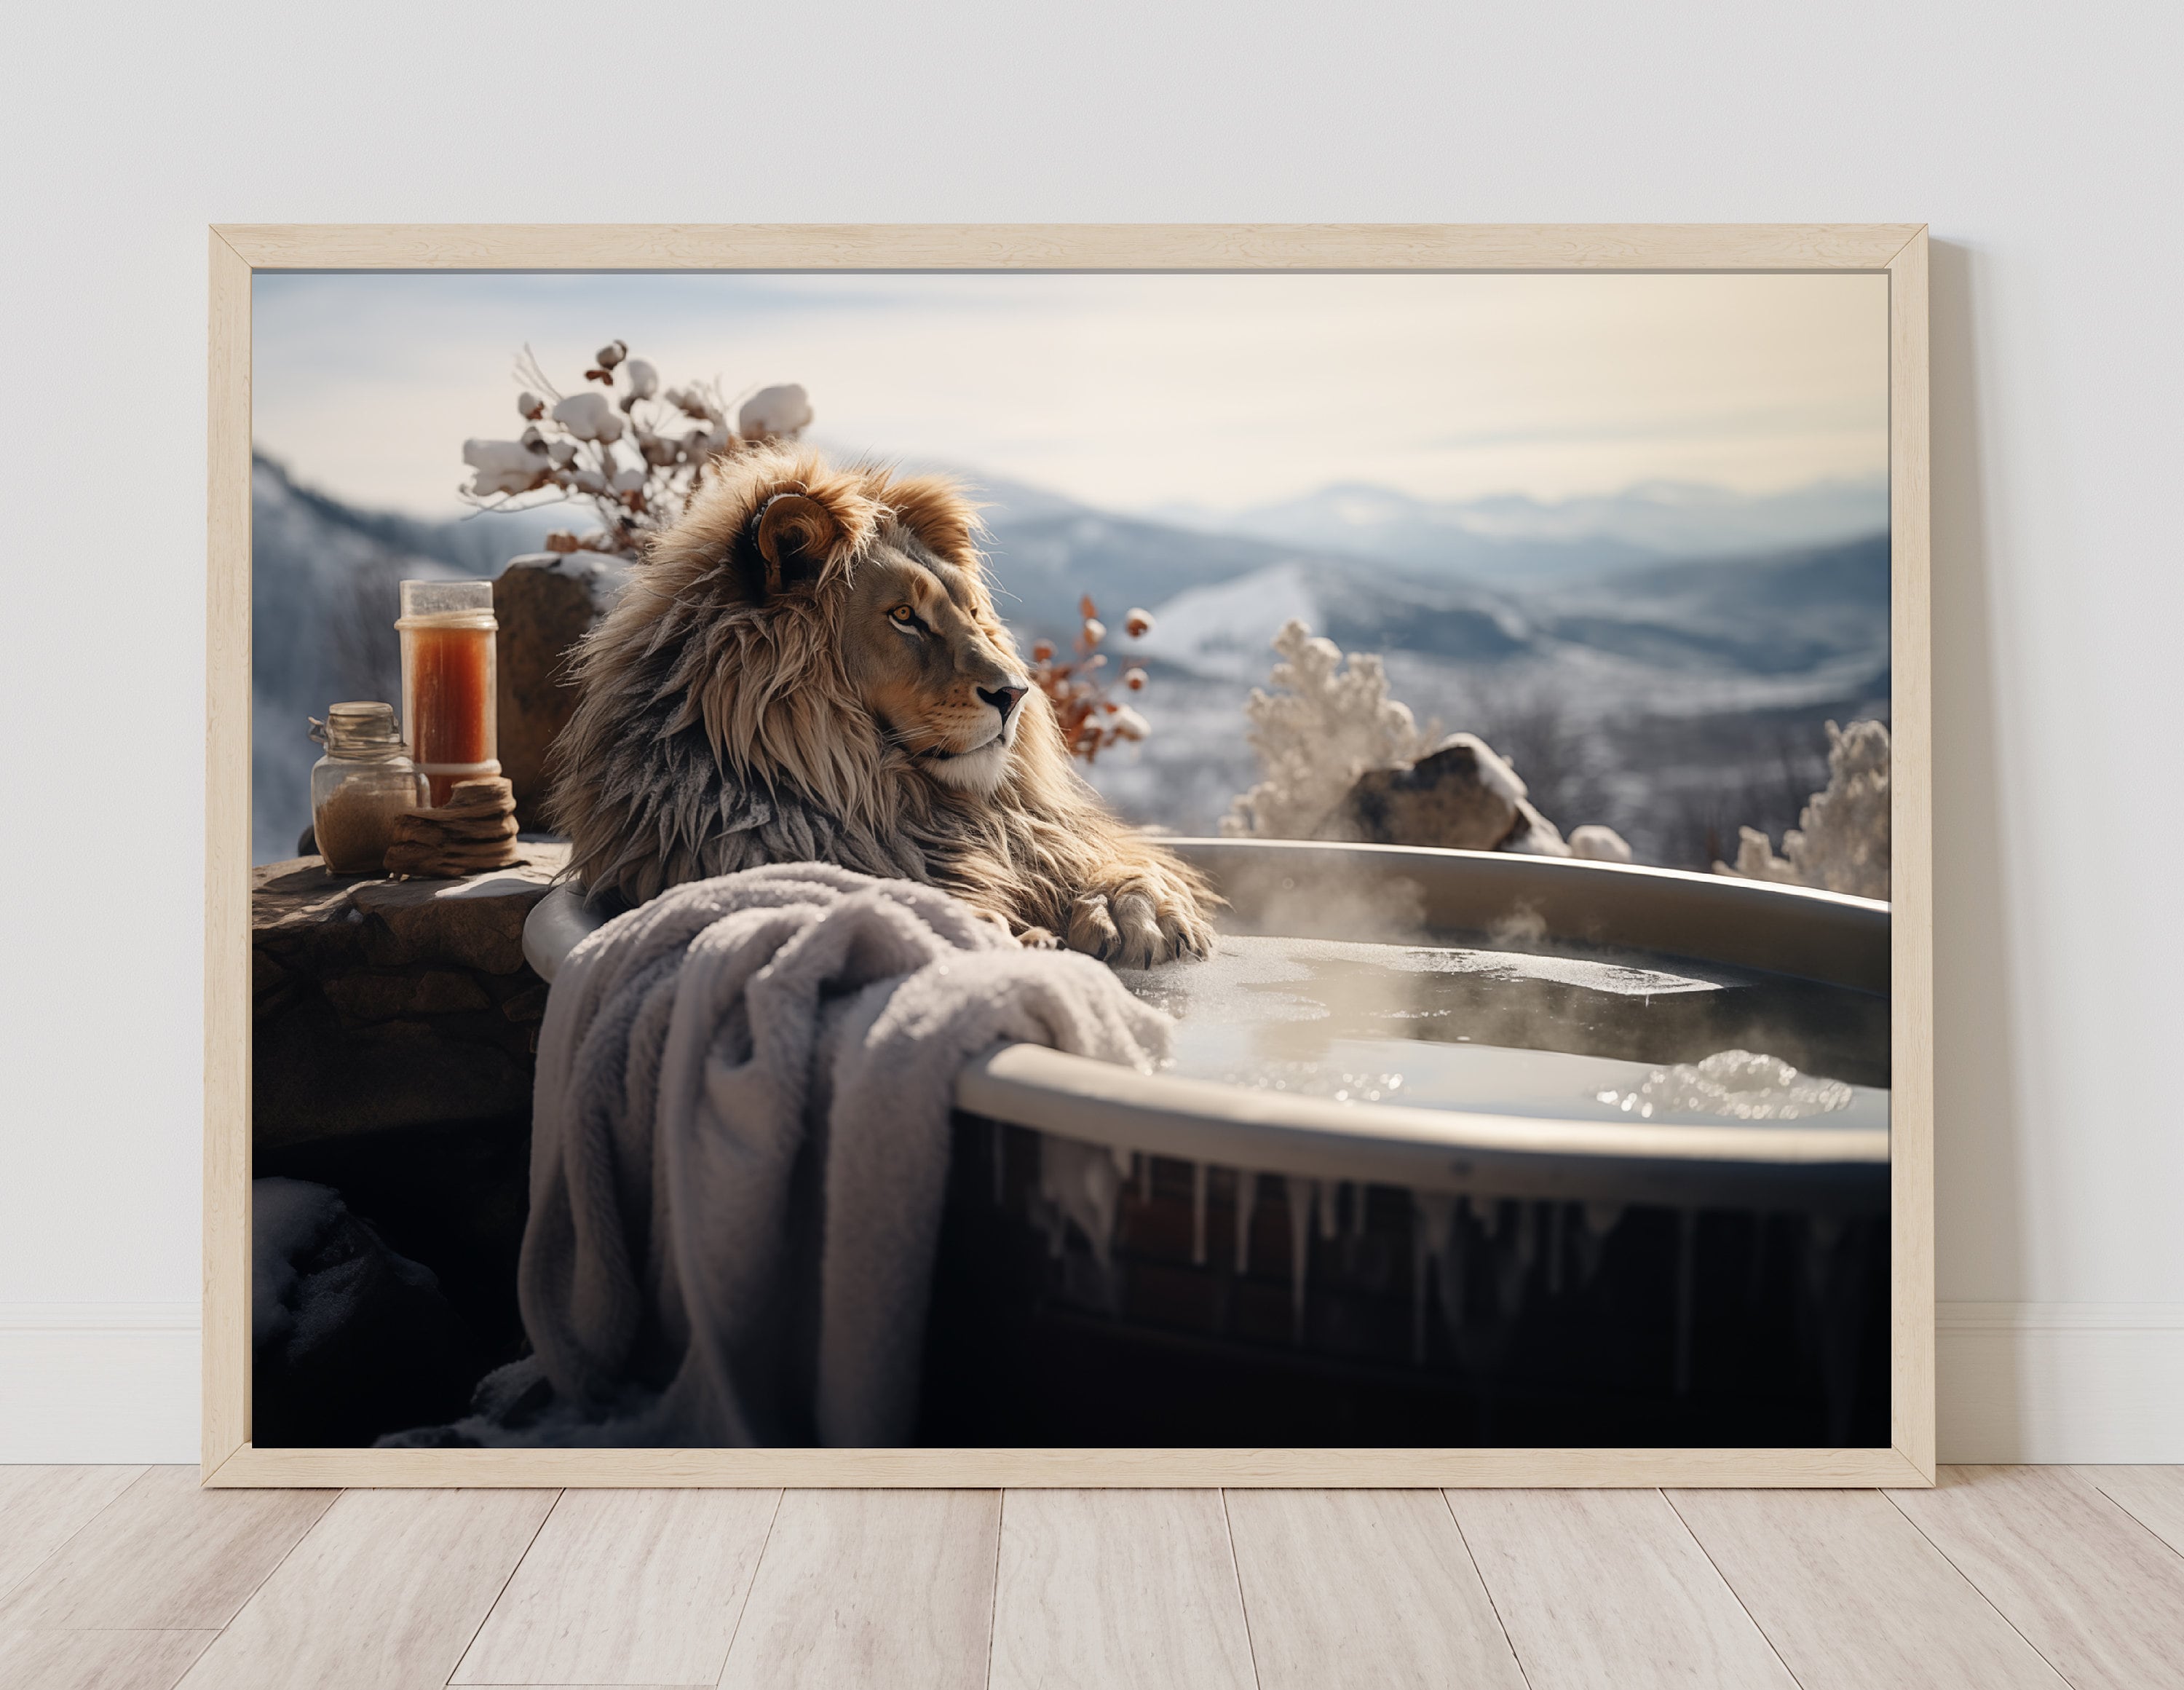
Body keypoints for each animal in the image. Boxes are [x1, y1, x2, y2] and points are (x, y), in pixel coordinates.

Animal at [545, 445, 1216, 967]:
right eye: (903, 616)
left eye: (972, 611)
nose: (1014, 693)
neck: (889, 796)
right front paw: (1008, 940)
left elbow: (1086, 855)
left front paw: (1136, 911)